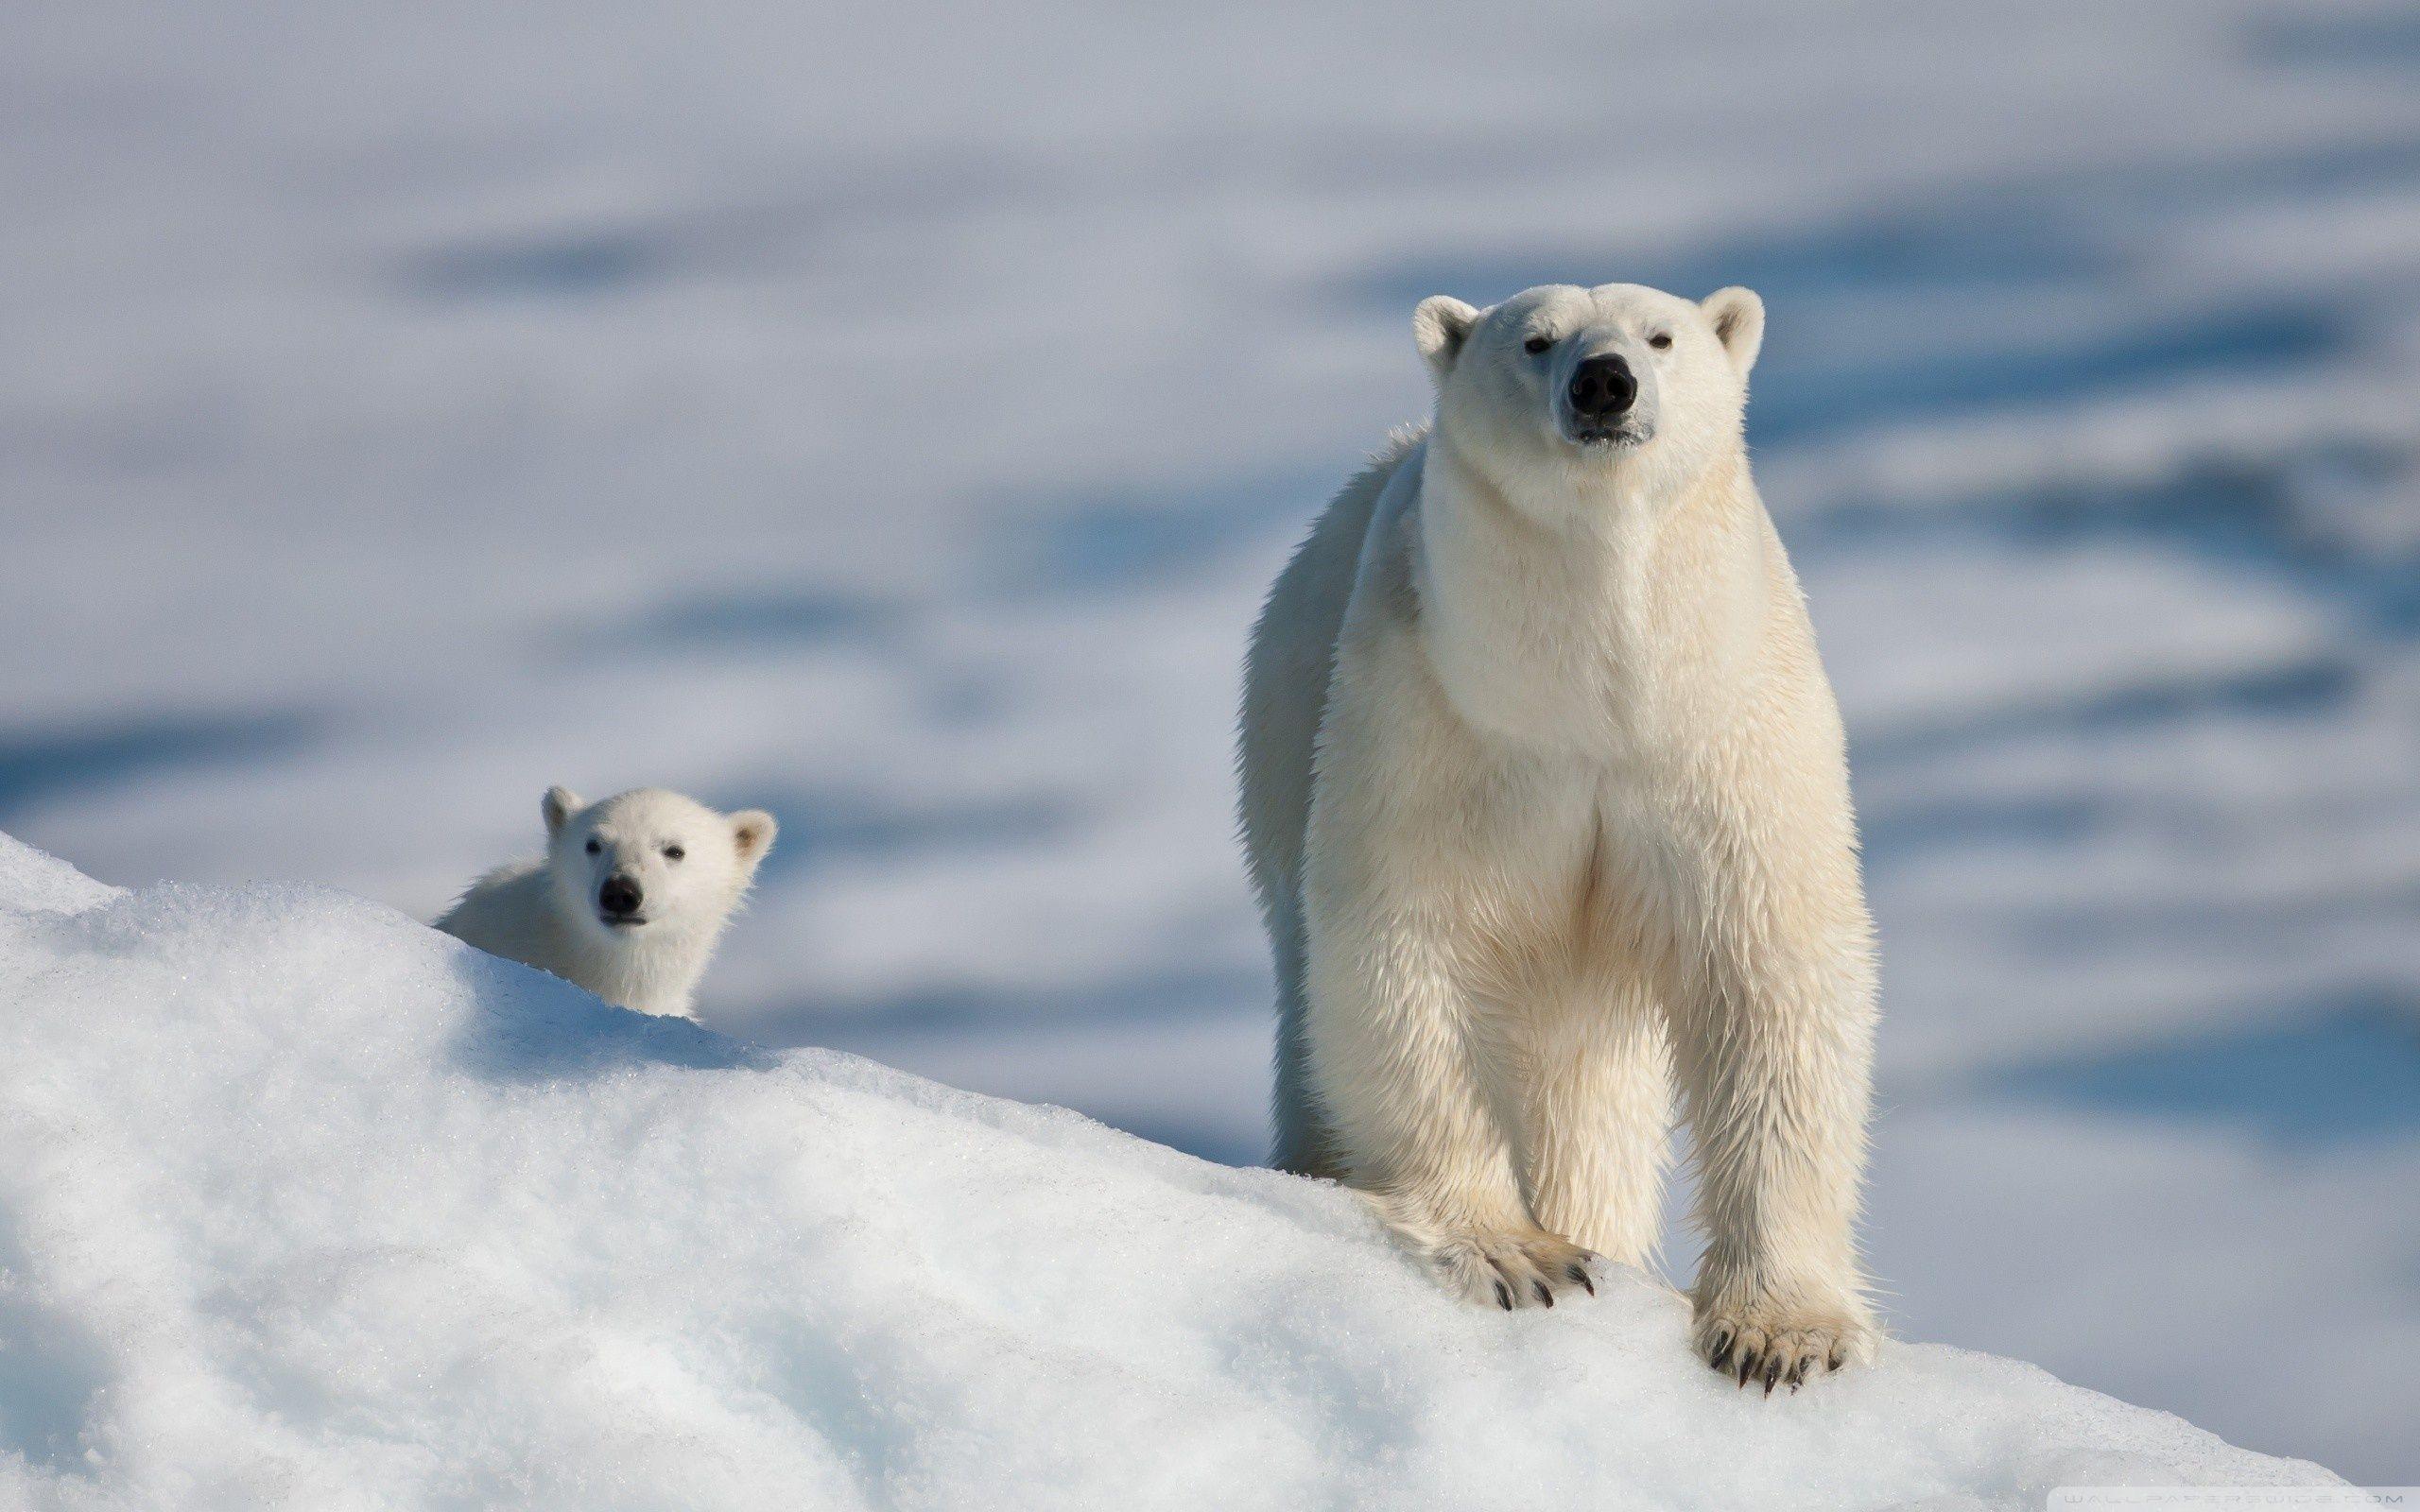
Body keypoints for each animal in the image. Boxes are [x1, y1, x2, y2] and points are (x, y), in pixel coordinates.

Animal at [1238, 281, 1878, 1390]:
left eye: (1661, 336)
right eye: (1535, 341)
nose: (1604, 382)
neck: (1595, 693)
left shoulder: (1722, 730)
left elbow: (1769, 974)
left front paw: (1778, 1333)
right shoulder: (1439, 717)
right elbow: (1408, 950)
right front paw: (1517, 1254)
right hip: (1283, 737)